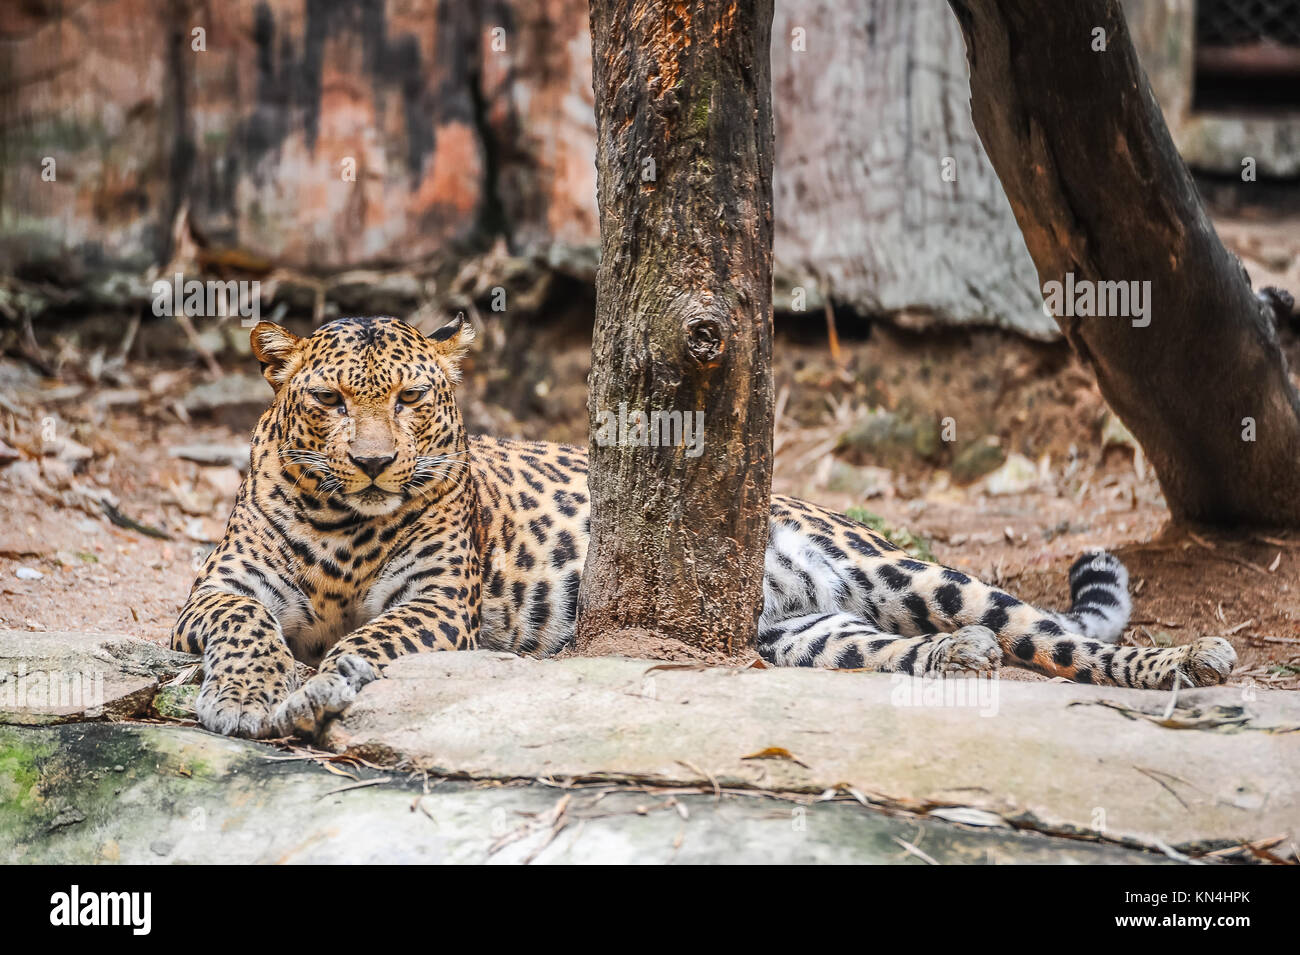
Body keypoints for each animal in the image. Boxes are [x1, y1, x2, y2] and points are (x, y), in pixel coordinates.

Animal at [172, 315, 1238, 739]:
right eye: (327, 400)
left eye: (410, 398)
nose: (373, 462)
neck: (344, 520)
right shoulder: (213, 591)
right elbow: (248, 626)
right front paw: (260, 691)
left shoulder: (435, 606)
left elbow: (368, 637)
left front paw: (315, 680)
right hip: (809, 637)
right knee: (895, 649)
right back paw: (955, 658)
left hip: (914, 570)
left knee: (1056, 636)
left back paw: (1190, 661)